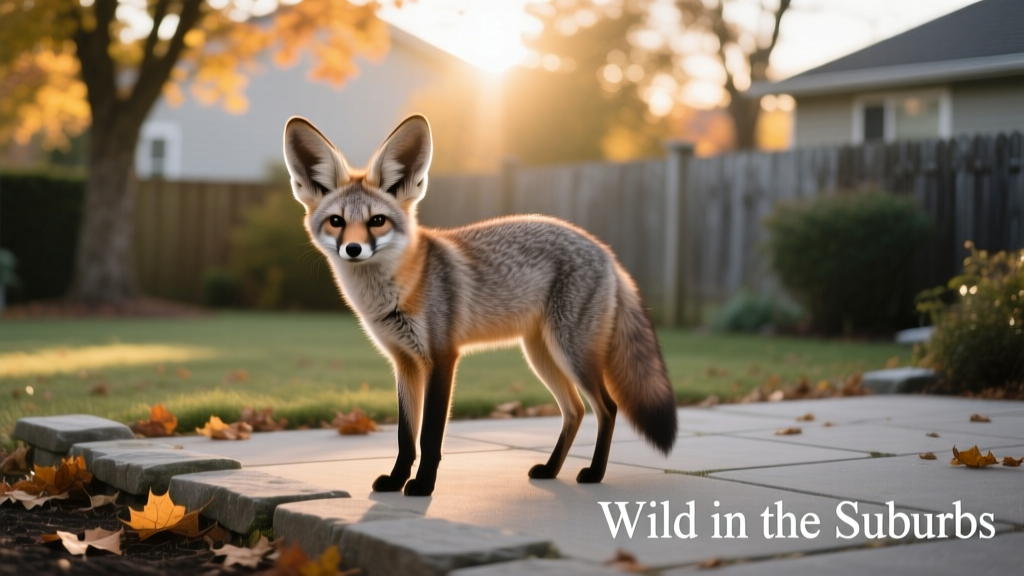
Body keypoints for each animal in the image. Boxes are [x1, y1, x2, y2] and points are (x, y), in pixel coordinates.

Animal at [282, 114, 677, 496]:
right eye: (337, 222)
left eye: (376, 221)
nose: (353, 249)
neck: (395, 293)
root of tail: (604, 249)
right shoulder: (404, 363)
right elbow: (405, 438)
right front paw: (396, 481)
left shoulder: (442, 358)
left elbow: (430, 437)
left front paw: (423, 486)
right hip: (541, 356)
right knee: (576, 411)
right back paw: (550, 470)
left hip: (571, 353)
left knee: (607, 408)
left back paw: (594, 474)